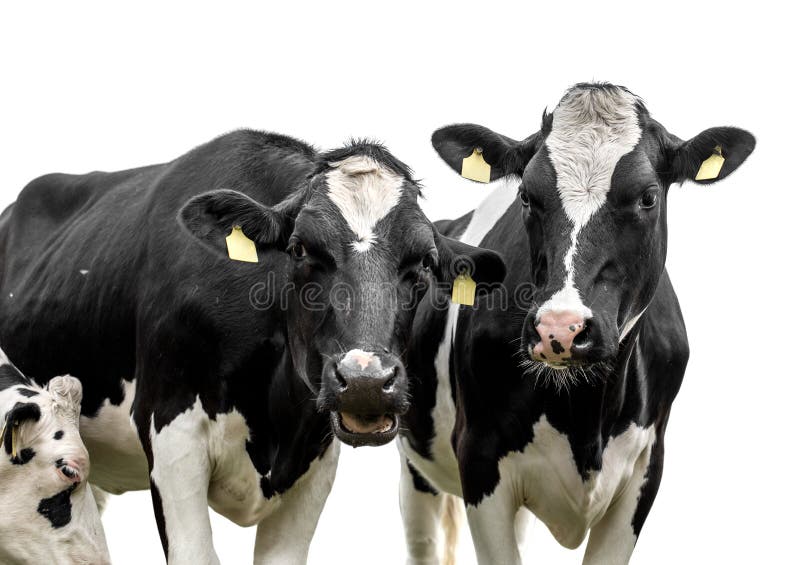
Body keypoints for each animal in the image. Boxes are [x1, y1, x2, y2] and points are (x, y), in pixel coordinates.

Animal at [398, 83, 755, 564]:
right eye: (526, 195)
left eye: (648, 196)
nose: (560, 330)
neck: (585, 418)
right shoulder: (479, 457)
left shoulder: (646, 470)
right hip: (415, 463)